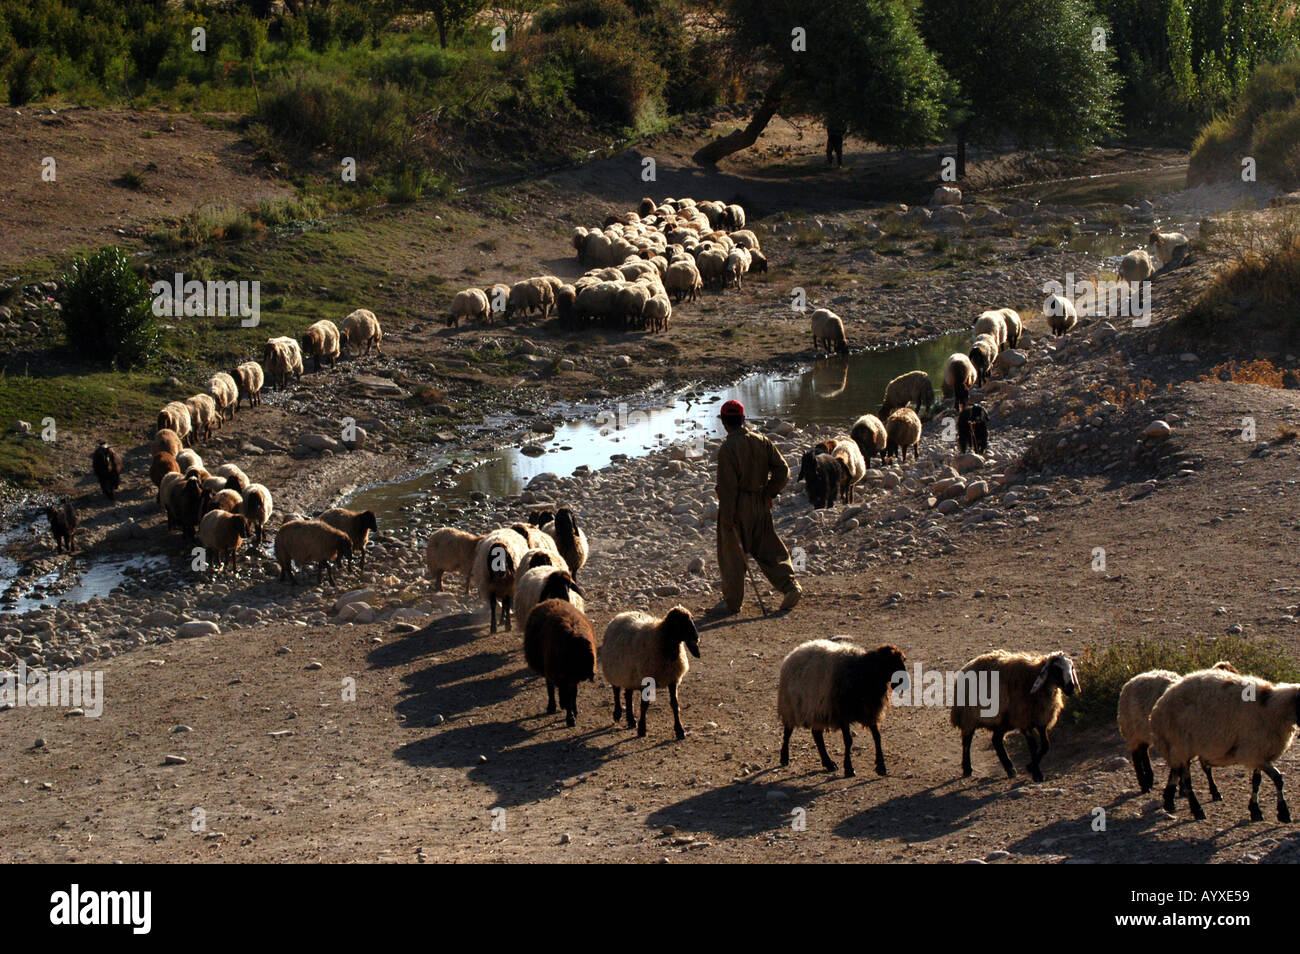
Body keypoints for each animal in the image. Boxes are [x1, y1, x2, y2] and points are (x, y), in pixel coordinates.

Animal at [600, 606, 700, 739]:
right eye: (679, 622)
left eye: (692, 619)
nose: (696, 638)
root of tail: (623, 614)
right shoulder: (646, 680)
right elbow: (644, 705)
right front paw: (642, 729)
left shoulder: (673, 679)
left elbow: (674, 704)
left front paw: (679, 730)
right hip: (615, 670)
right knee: (616, 690)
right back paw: (618, 714)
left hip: (630, 674)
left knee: (628, 695)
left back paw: (631, 719)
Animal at [778, 639, 906, 778]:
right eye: (891, 663)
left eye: (902, 661)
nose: (905, 683)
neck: (864, 672)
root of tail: (793, 653)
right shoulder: (842, 713)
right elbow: (848, 740)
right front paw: (849, 768)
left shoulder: (869, 711)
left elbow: (877, 737)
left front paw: (881, 766)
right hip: (791, 705)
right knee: (788, 731)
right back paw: (784, 757)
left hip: (818, 709)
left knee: (817, 734)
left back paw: (828, 763)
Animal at [950, 651, 1079, 782]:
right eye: (1056, 669)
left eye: (1072, 667)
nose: (1071, 687)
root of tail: (968, 665)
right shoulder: (1023, 720)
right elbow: (1033, 746)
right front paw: (1036, 773)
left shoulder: (1041, 720)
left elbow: (1045, 746)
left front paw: (1030, 767)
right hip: (969, 716)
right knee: (967, 741)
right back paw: (967, 768)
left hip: (1001, 721)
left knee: (996, 741)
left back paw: (1010, 769)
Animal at [1117, 662, 1237, 796]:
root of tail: (1131, 680)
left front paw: (1183, 788)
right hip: (1131, 730)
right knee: (1136, 757)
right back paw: (1144, 785)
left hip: (1144, 732)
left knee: (1144, 751)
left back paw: (1150, 779)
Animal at [1150, 667, 1300, 822]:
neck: (1271, 708)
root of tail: (1158, 707)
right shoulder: (1253, 752)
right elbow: (1278, 778)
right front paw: (1283, 812)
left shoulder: (1260, 752)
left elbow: (1256, 781)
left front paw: (1255, 810)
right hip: (1180, 744)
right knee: (1186, 779)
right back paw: (1197, 810)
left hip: (1180, 747)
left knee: (1178, 770)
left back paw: (1169, 801)